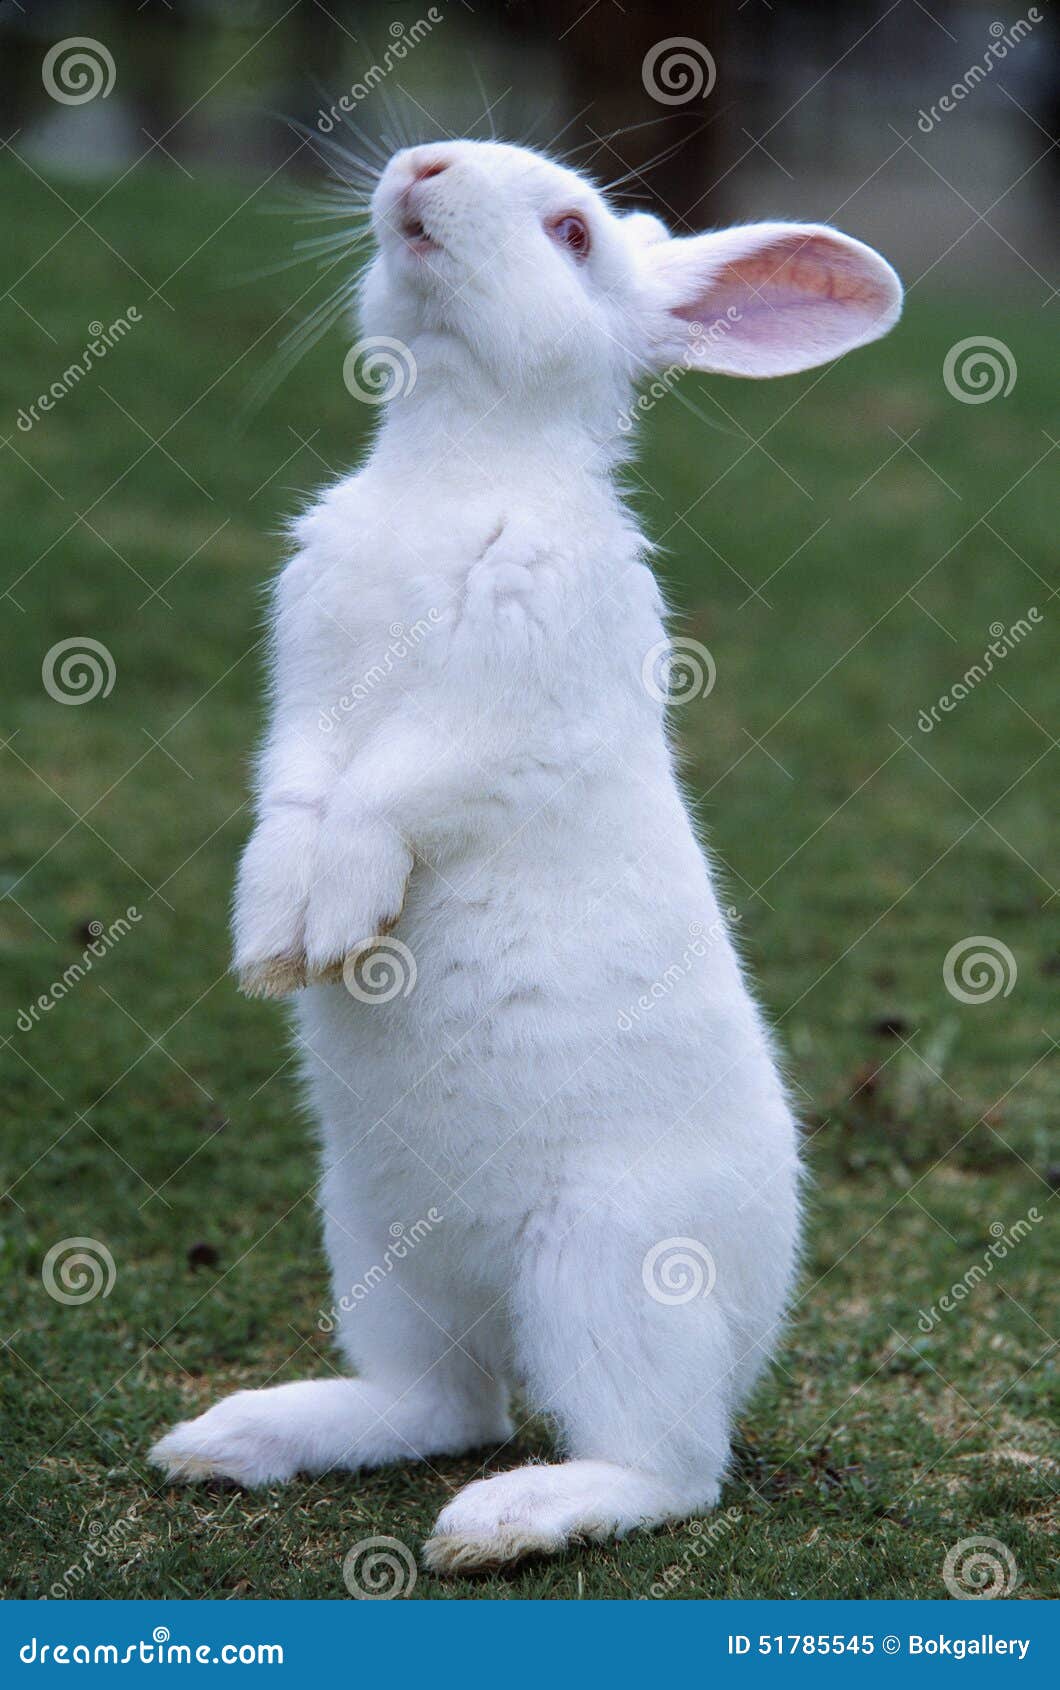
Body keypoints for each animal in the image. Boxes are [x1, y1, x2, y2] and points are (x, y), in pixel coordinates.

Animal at [150, 139, 902, 1573]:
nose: (422, 164)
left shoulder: (495, 713)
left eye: (571, 232)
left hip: (604, 1268)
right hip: (375, 1245)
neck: (456, 453)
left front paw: (336, 923)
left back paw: (506, 1520)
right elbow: (297, 793)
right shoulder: (307, 692)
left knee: (667, 1467)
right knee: (446, 1402)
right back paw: (230, 1438)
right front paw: (275, 940)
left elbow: (385, 796)